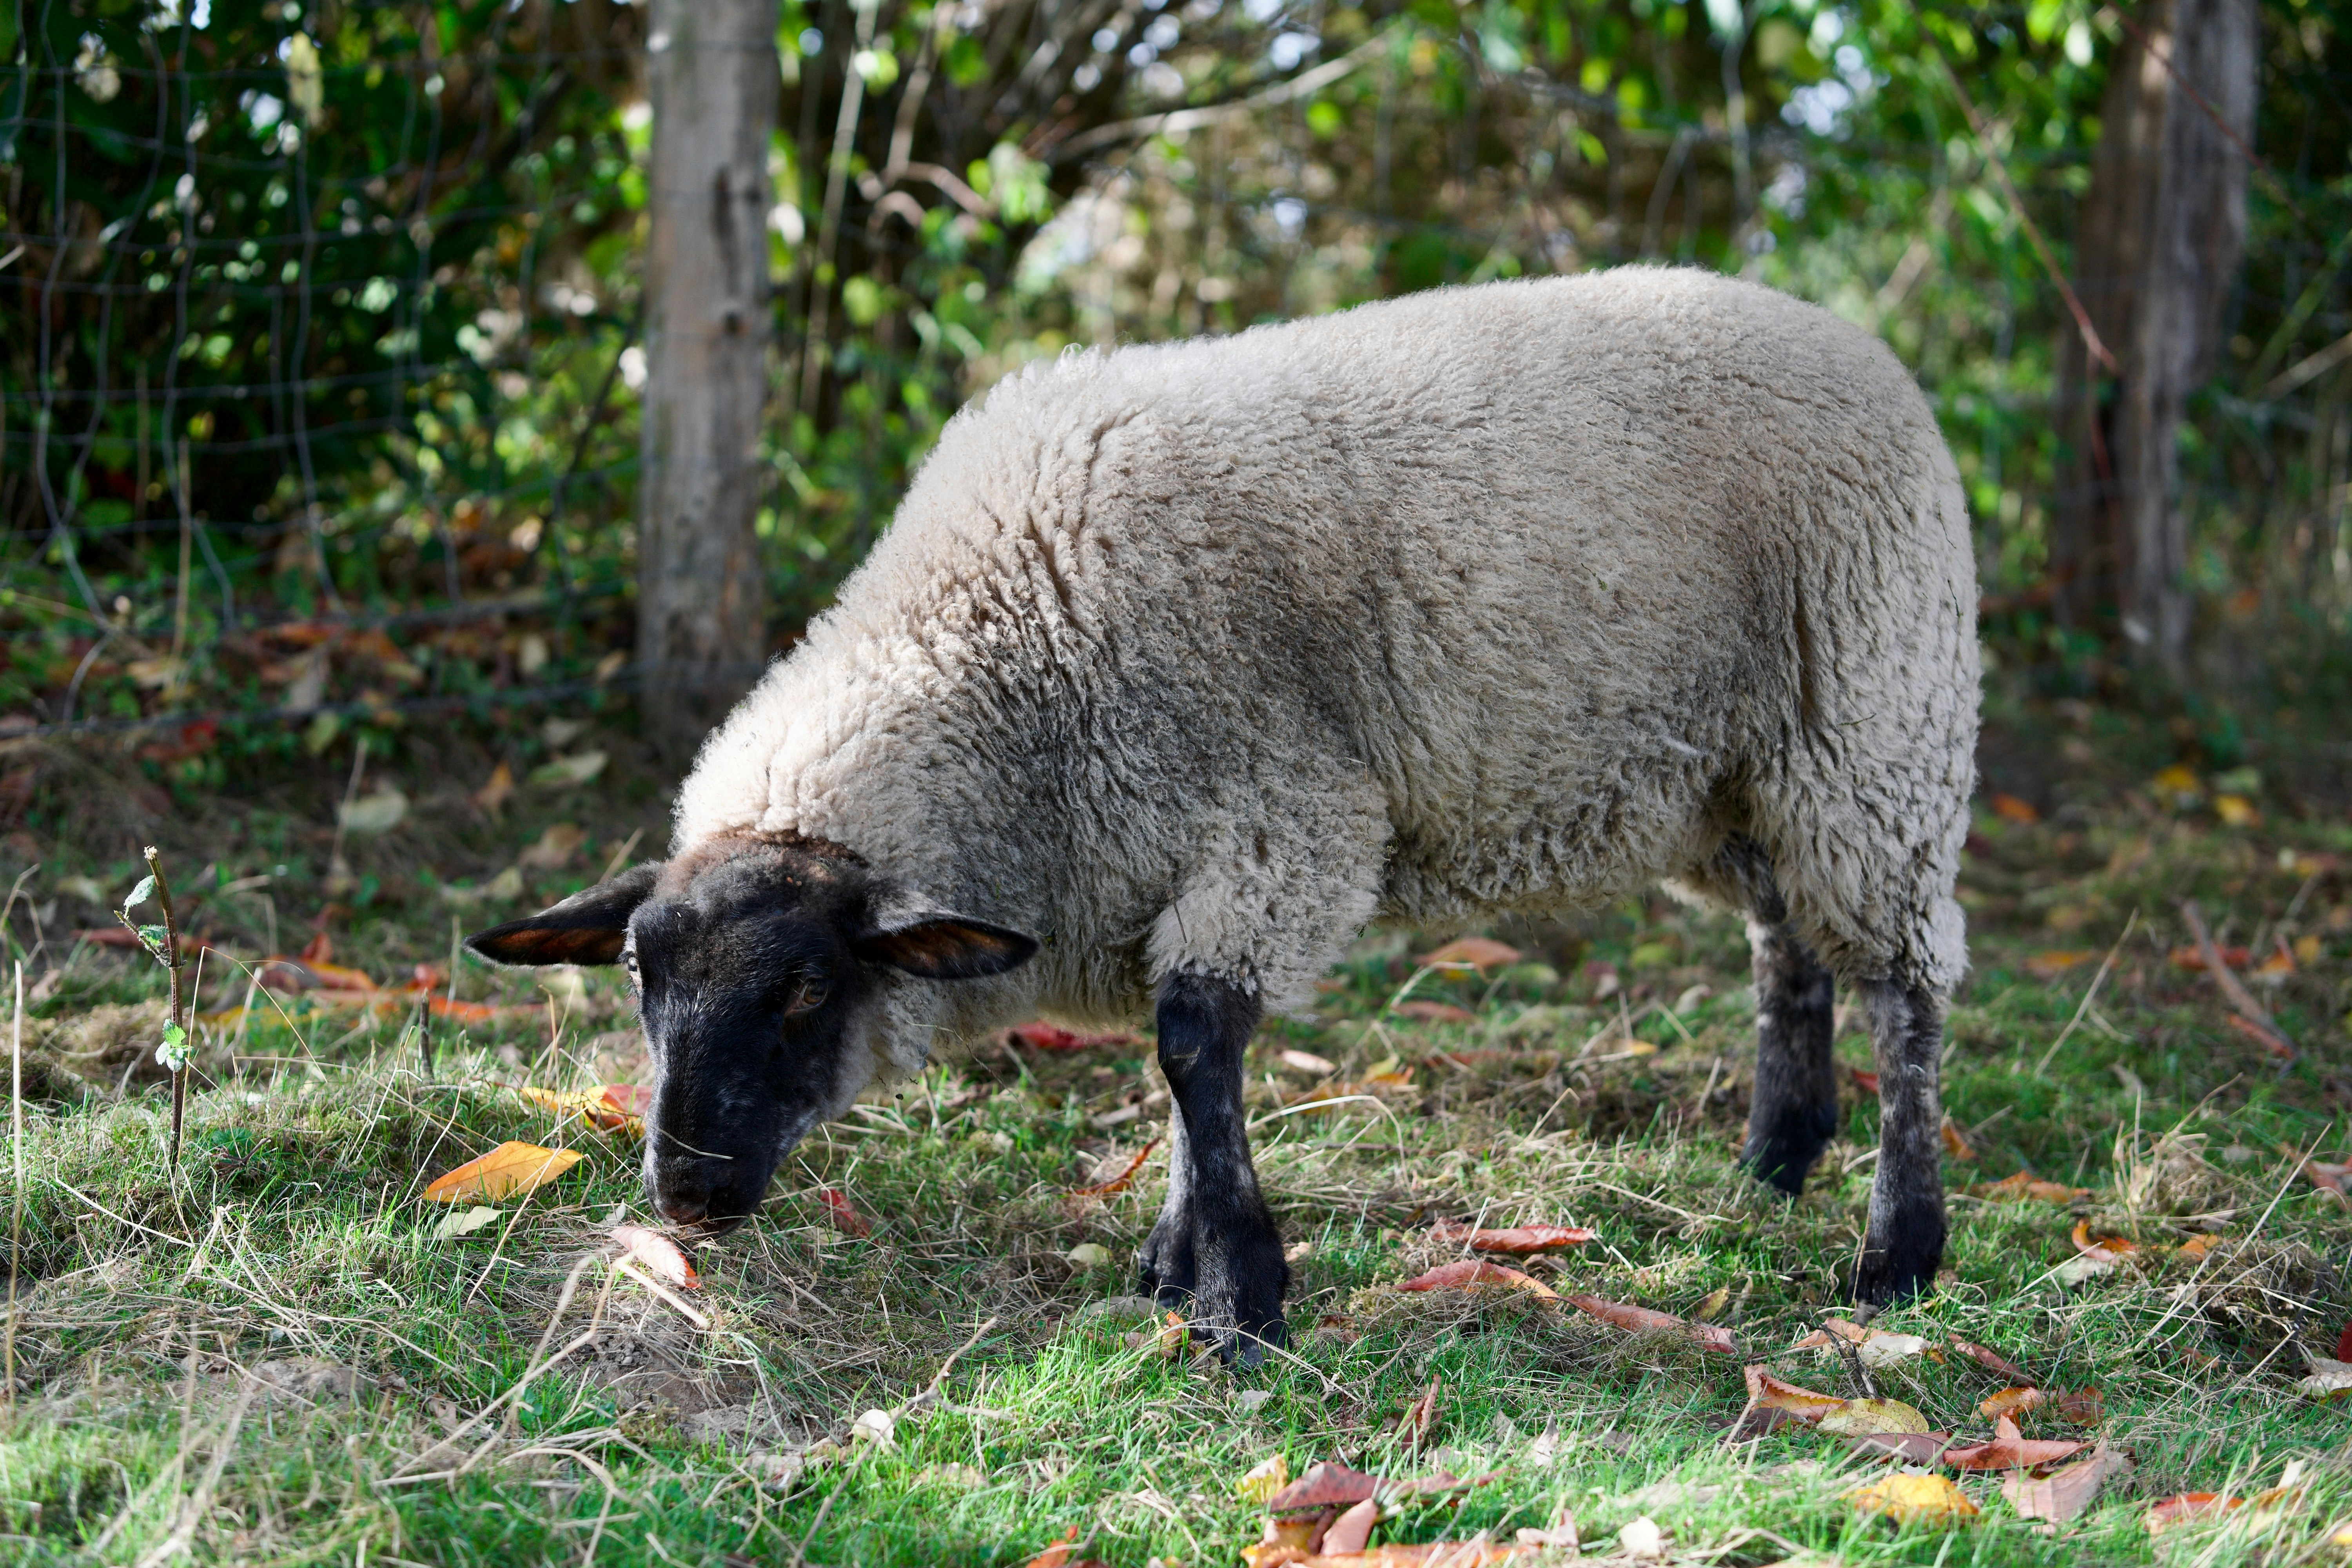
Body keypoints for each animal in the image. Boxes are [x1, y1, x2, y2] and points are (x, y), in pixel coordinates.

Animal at [471, 267, 1980, 1364]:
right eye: (639, 982)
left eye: (799, 992)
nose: (686, 1195)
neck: (1006, 640)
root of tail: (1854, 340)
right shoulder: (1158, 856)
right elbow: (1183, 1064)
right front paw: (1176, 1255)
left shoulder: (1280, 823)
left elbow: (1195, 1042)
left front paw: (1236, 1302)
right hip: (1734, 777)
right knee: (1787, 944)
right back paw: (1777, 1157)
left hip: (1874, 723)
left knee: (1906, 990)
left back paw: (1895, 1251)